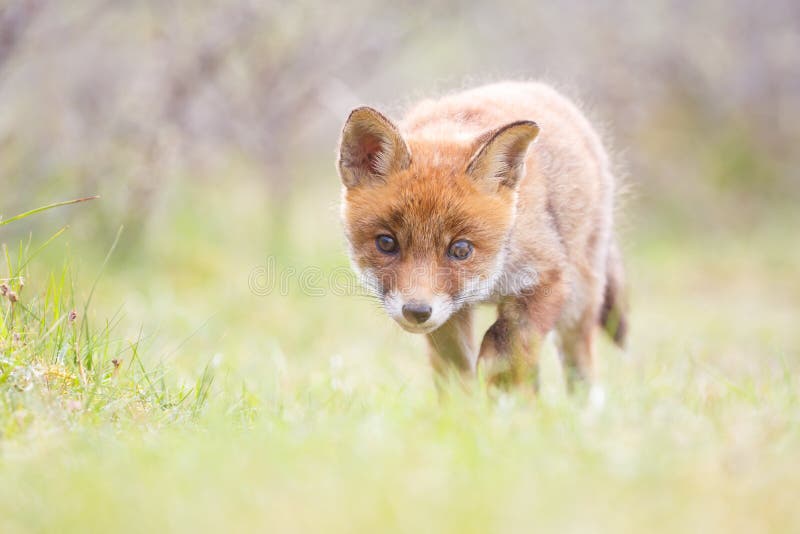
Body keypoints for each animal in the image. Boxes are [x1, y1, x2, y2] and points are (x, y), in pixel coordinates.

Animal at [337, 82, 627, 390]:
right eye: (386, 243)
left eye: (461, 249)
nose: (417, 311)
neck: (492, 279)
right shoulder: (450, 313)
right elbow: (455, 369)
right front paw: (467, 401)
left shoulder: (549, 278)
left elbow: (506, 344)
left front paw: (497, 386)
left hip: (580, 301)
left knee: (579, 363)